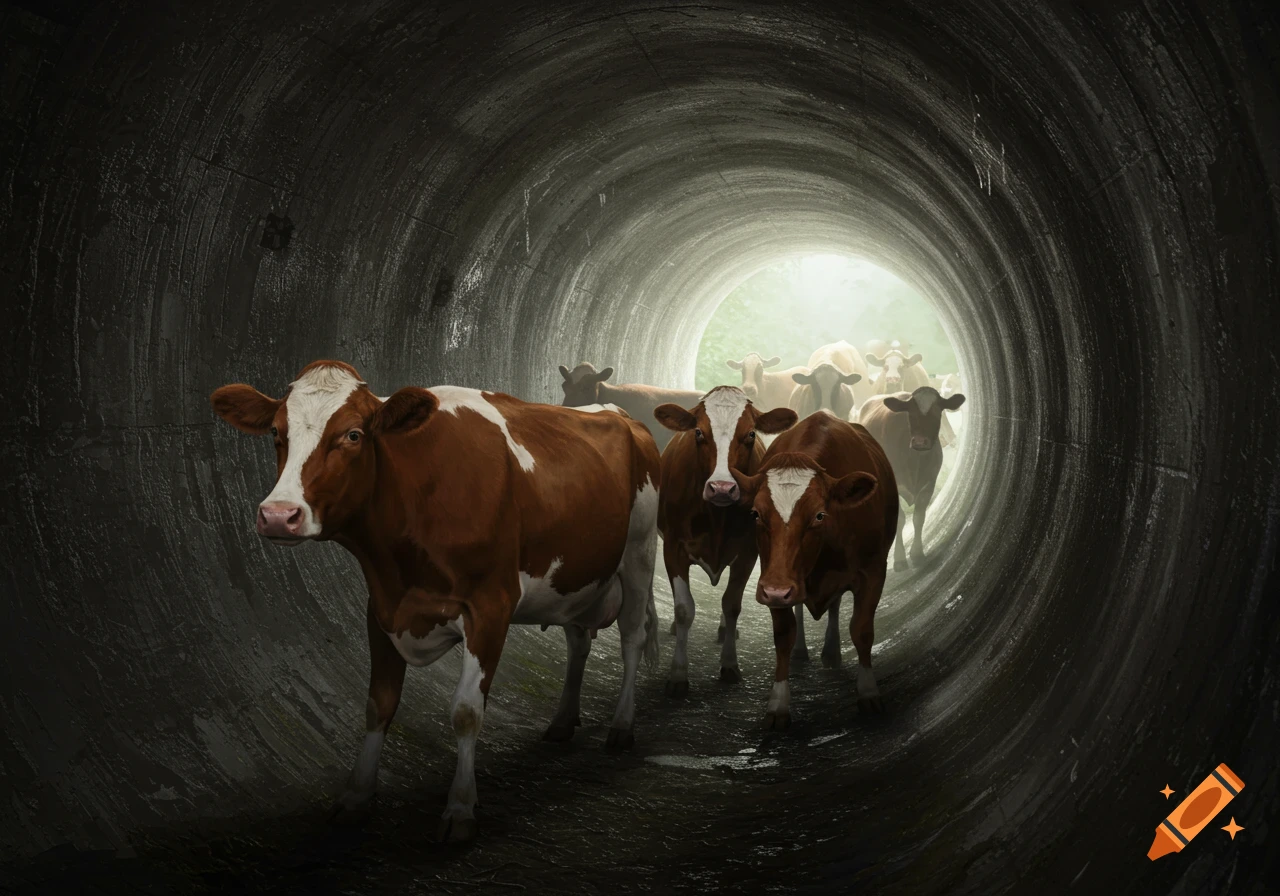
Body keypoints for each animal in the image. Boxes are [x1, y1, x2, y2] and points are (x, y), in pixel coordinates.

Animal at [210, 361, 661, 842]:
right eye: (277, 433)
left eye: (353, 434)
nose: (279, 515)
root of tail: (620, 413)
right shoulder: (381, 607)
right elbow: (379, 704)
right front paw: (355, 797)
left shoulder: (490, 606)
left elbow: (466, 711)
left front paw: (460, 808)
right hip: (577, 578)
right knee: (578, 641)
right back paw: (562, 721)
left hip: (638, 553)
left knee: (633, 637)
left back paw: (622, 725)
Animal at [652, 387, 798, 696]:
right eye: (698, 432)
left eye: (751, 434)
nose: (721, 487)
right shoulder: (673, 548)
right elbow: (684, 609)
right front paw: (678, 674)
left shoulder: (747, 553)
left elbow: (732, 604)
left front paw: (730, 664)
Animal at [730, 412, 898, 727]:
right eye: (756, 513)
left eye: (819, 515)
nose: (777, 591)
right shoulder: (773, 577)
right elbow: (783, 635)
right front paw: (778, 704)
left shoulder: (873, 571)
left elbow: (862, 630)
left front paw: (868, 692)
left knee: (835, 606)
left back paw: (831, 652)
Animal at [859, 386, 965, 570]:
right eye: (910, 412)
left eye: (938, 411)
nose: (920, 441)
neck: (915, 462)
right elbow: (899, 520)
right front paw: (900, 559)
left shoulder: (929, 484)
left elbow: (918, 518)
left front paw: (917, 553)